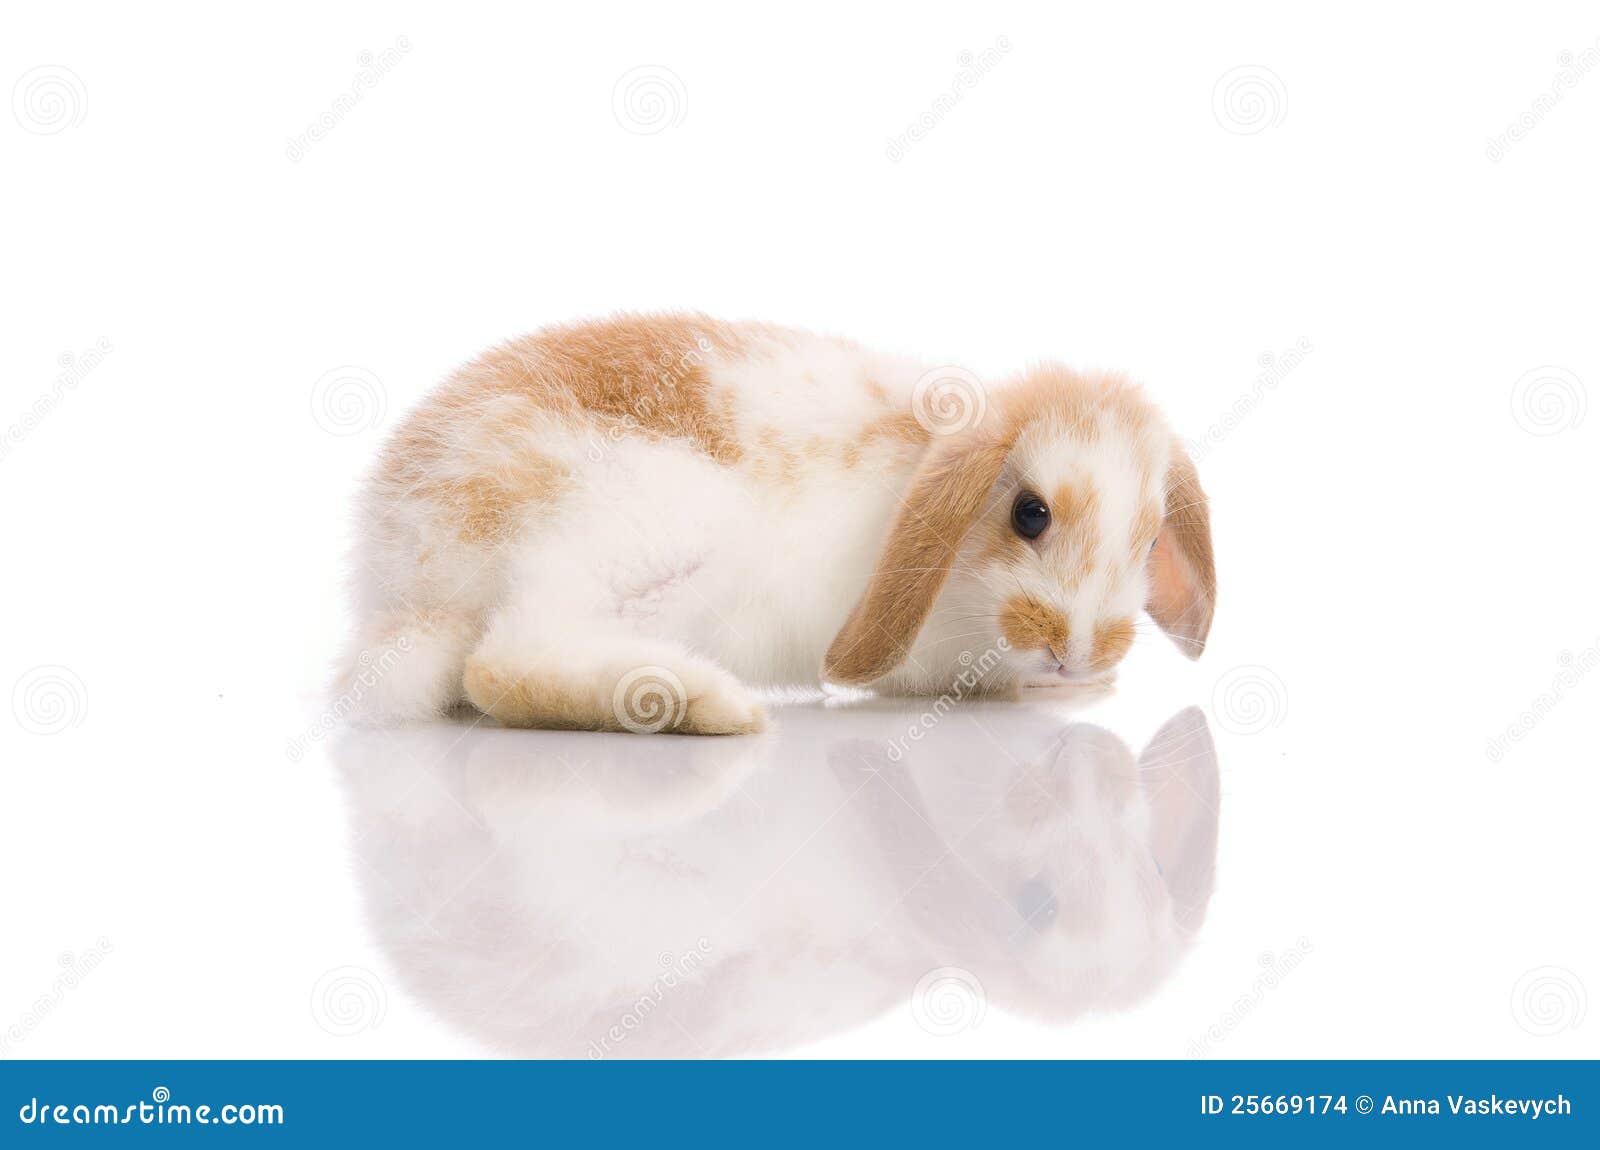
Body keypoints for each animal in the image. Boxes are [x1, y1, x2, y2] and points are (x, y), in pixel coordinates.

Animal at [342, 313, 1215, 733]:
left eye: (1148, 540)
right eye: (1029, 513)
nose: (1077, 653)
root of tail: (403, 577)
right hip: (645, 540)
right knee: (506, 663)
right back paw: (705, 706)